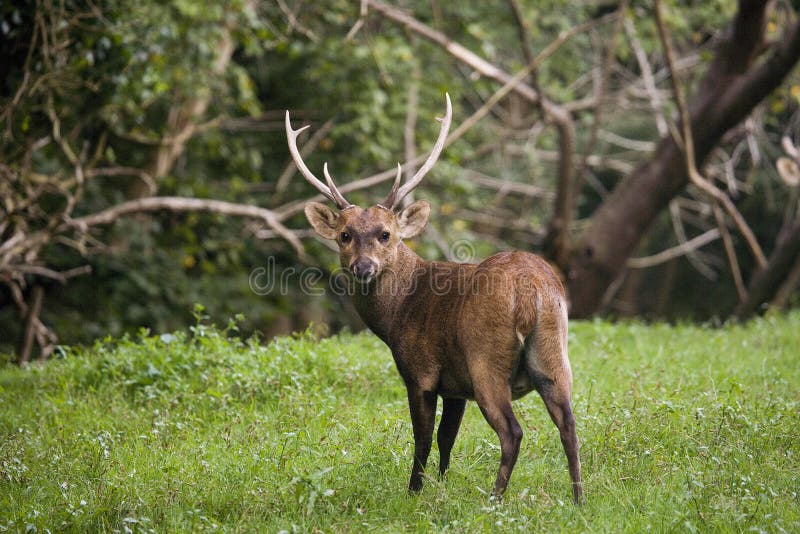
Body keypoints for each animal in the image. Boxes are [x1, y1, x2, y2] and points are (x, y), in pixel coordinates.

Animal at [285, 94, 582, 504]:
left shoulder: (420, 371)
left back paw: (495, 500)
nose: (363, 267)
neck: (397, 315)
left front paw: (414, 491)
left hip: (486, 359)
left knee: (512, 431)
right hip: (555, 352)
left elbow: (423, 439)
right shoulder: (455, 385)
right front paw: (442, 486)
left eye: (386, 234)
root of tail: (530, 290)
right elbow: (447, 438)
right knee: (569, 424)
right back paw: (579, 499)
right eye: (345, 235)